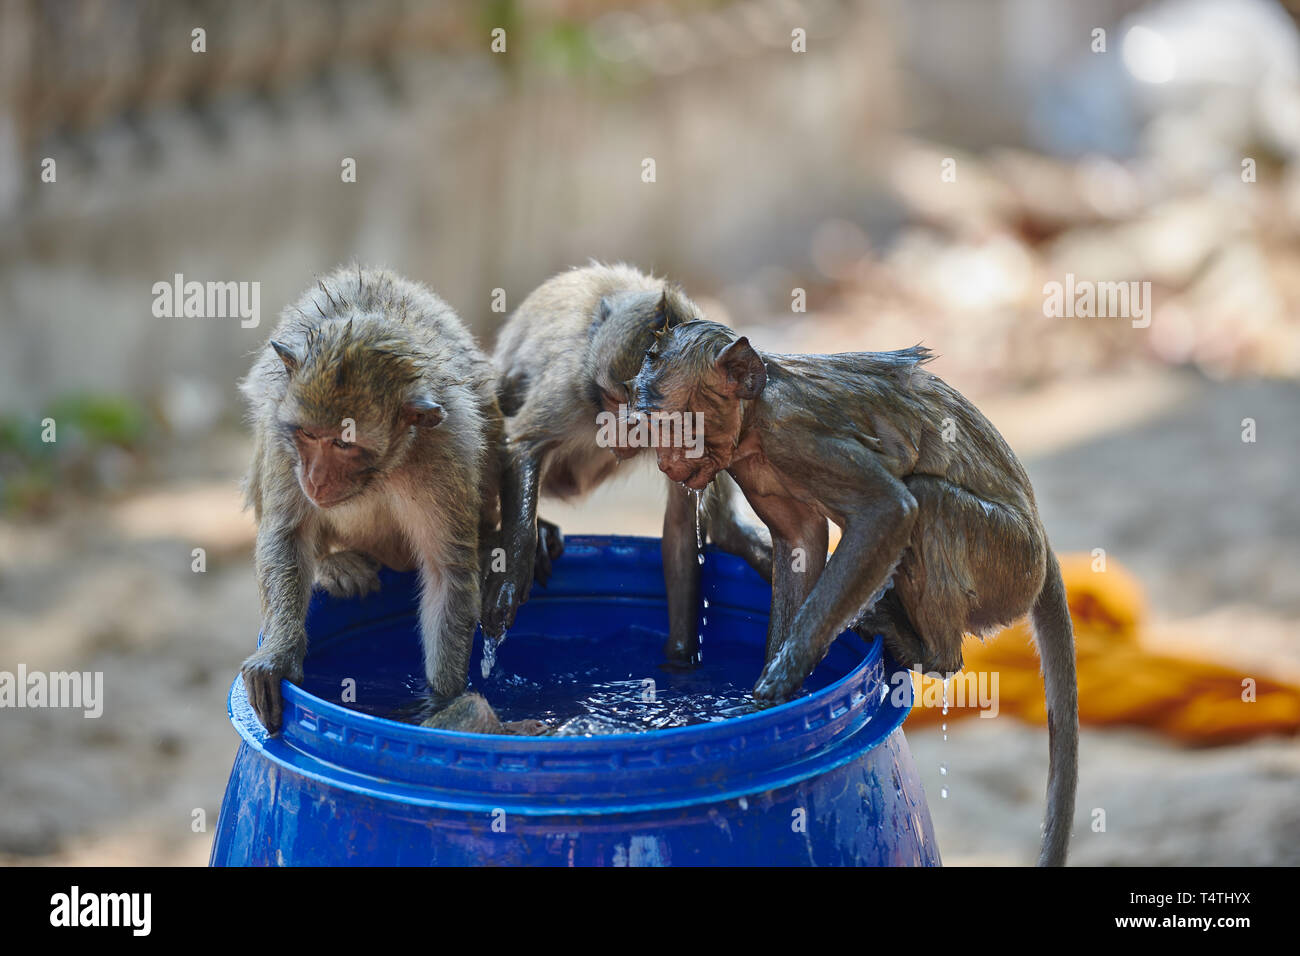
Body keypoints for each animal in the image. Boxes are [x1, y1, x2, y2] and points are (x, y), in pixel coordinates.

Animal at [238, 265, 540, 736]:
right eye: (307, 434)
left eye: (345, 444)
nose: (315, 479)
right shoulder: (280, 430)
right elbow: (286, 533)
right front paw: (279, 654)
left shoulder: (445, 449)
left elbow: (447, 570)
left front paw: (443, 703)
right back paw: (335, 563)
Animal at [482, 263, 773, 663]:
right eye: (612, 398)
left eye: (646, 418)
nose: (616, 432)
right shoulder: (571, 385)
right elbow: (522, 444)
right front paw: (511, 572)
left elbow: (681, 528)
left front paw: (679, 660)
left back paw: (732, 533)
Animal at [630, 320, 1078, 866]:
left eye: (674, 427)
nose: (666, 462)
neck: (755, 416)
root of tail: (1042, 544)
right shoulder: (751, 461)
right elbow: (800, 540)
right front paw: (774, 698)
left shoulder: (796, 435)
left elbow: (888, 508)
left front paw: (775, 688)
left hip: (1007, 560)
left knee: (928, 498)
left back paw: (927, 649)